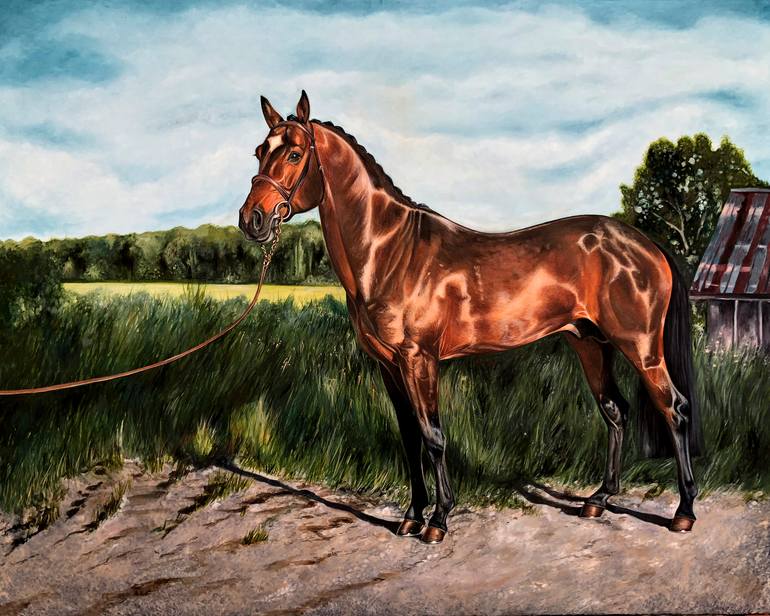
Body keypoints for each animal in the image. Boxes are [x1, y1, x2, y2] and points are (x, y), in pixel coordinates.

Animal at [238, 91, 704, 544]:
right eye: (260, 151)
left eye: (295, 153)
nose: (251, 219)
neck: (390, 252)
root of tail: (648, 246)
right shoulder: (388, 366)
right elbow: (409, 438)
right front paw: (411, 516)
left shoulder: (419, 360)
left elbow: (433, 437)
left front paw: (439, 520)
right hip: (590, 343)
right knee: (615, 411)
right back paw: (599, 500)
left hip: (641, 349)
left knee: (675, 409)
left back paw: (683, 512)